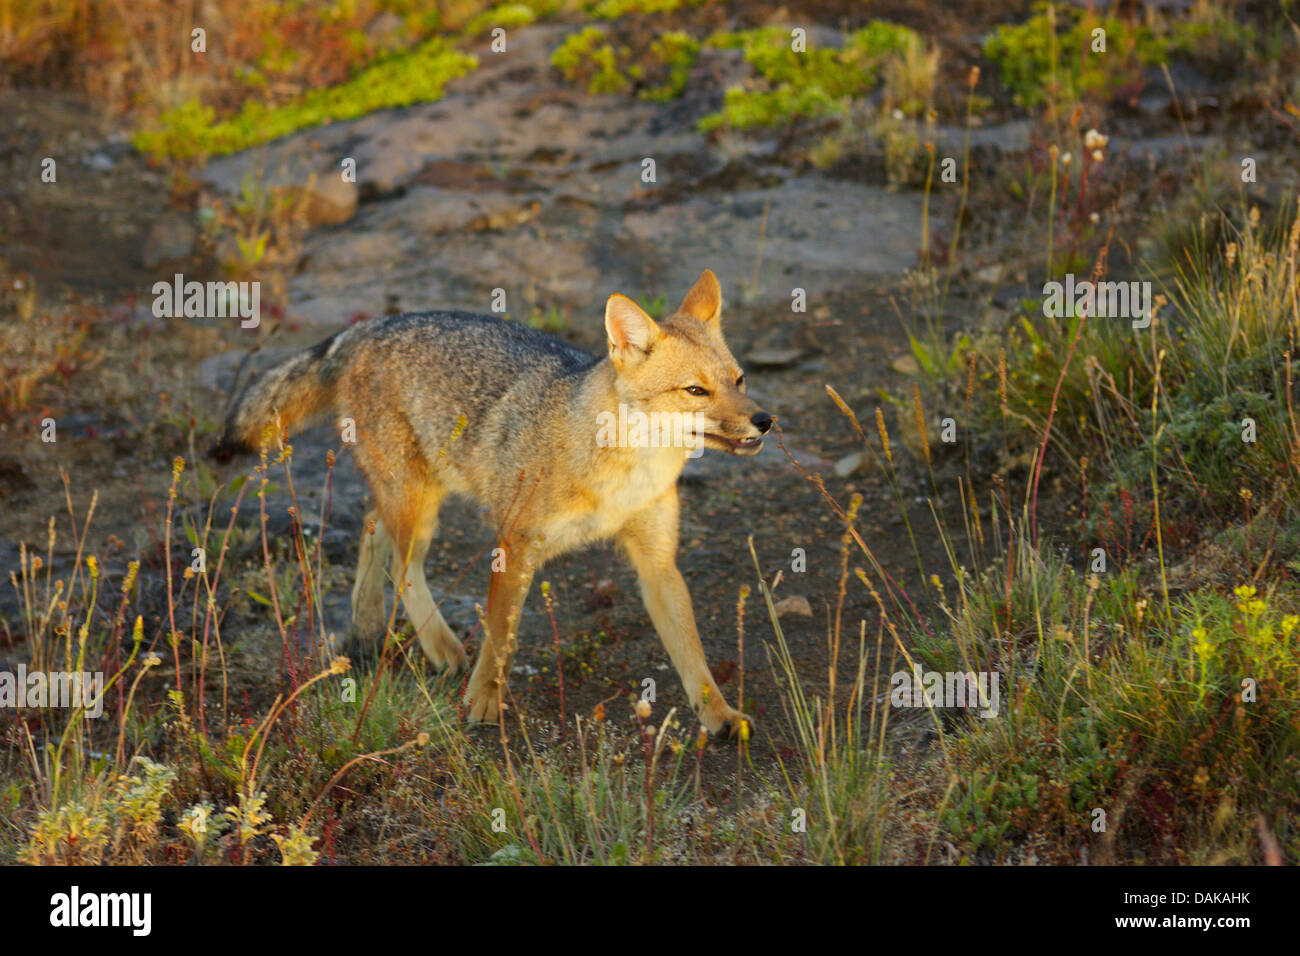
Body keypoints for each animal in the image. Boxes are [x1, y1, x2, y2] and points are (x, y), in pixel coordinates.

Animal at [214, 270, 770, 738]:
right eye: (696, 390)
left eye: (739, 380)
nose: (765, 420)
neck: (621, 468)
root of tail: (370, 326)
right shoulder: (516, 544)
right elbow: (500, 634)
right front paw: (482, 699)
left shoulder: (657, 562)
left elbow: (692, 654)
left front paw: (719, 715)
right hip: (418, 503)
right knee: (402, 564)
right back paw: (441, 647)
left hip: (418, 493)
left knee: (374, 531)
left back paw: (366, 624)